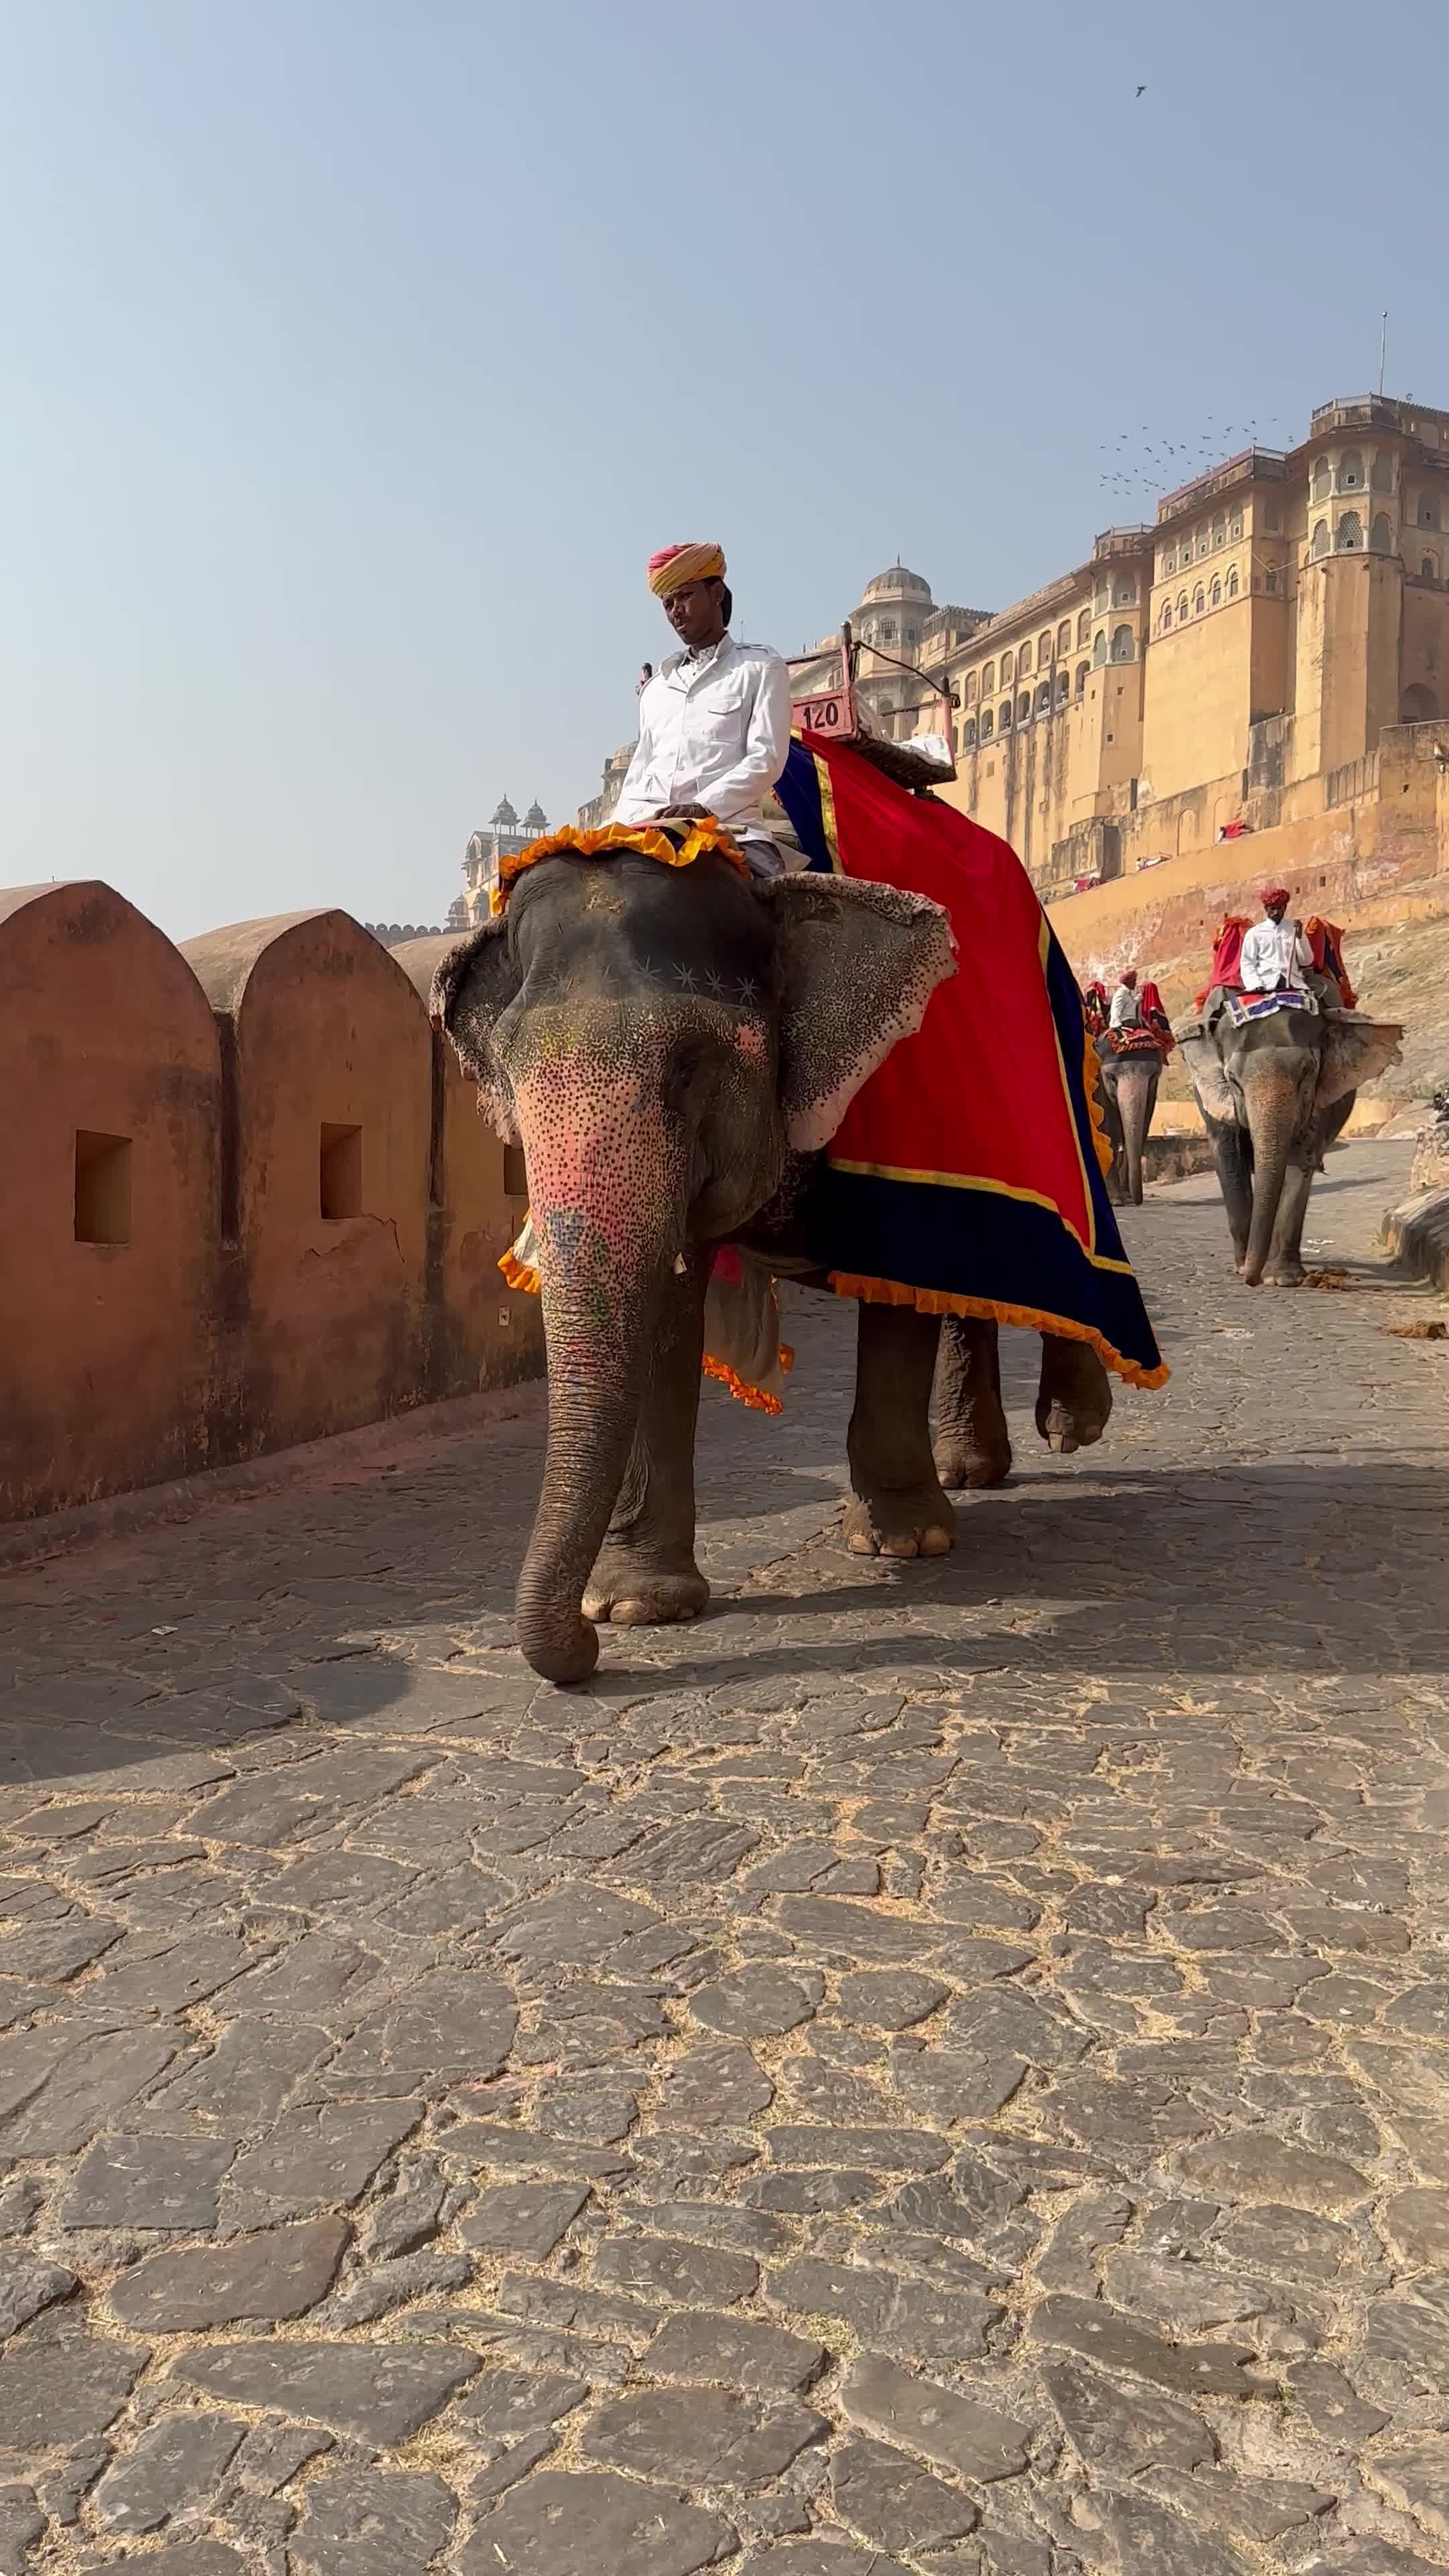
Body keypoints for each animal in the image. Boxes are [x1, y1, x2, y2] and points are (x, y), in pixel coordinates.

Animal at [435, 846, 1114, 1684]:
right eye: (505, 1067)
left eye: (689, 1063)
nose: (585, 1654)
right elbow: (667, 1309)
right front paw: (636, 1606)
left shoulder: (892, 1097)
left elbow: (894, 1287)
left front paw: (902, 1542)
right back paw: (972, 1469)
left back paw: (1071, 1426)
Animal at [1093, 1034, 1165, 1206]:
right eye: (1112, 1078)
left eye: (1153, 1076)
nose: (1138, 1201)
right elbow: (1106, 1124)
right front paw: (1116, 1200)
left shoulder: (1153, 1089)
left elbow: (1145, 1122)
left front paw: (1126, 1196)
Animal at [1180, 999, 1402, 1286]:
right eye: (1233, 1080)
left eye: (1308, 1071)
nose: (1252, 1280)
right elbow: (1229, 1156)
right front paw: (1243, 1266)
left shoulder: (1320, 1099)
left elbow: (1300, 1159)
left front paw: (1284, 1278)